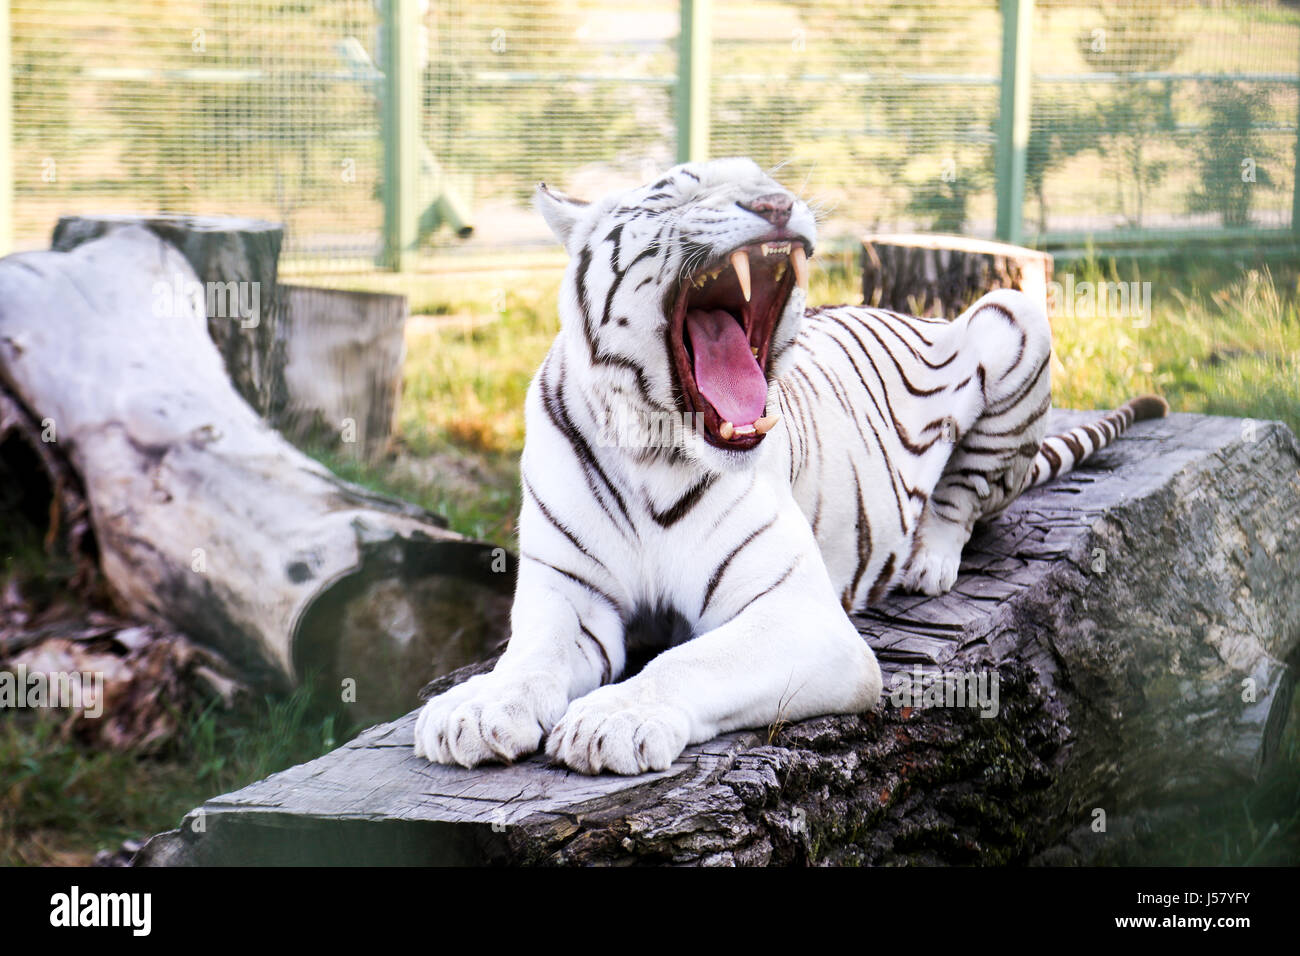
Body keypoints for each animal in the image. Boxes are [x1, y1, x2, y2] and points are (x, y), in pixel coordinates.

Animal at [413, 157, 1168, 775]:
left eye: (763, 178)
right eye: (676, 192)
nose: (778, 203)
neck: (651, 445)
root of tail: (914, 314)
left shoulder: (801, 615)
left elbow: (688, 660)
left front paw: (613, 719)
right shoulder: (569, 594)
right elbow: (529, 656)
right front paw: (477, 709)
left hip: (1010, 313)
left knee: (965, 492)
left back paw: (928, 560)